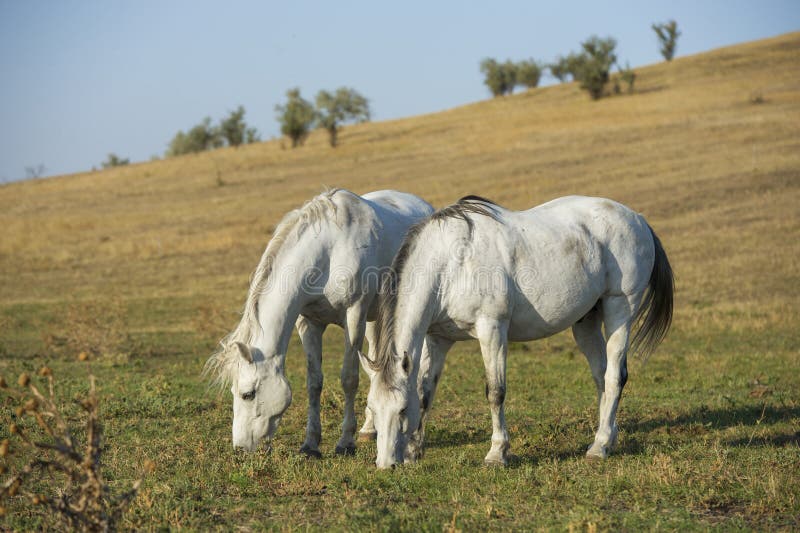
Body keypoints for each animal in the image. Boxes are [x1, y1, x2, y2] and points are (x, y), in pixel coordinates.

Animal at [205, 188, 434, 456]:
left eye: (248, 394)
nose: (239, 448)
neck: (328, 252)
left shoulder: (354, 316)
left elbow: (349, 378)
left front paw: (345, 442)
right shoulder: (309, 323)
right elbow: (314, 382)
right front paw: (310, 444)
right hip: (375, 319)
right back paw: (370, 428)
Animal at [366, 195, 673, 469]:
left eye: (401, 410)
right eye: (372, 408)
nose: (385, 464)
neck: (452, 264)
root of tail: (637, 218)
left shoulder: (492, 329)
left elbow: (495, 391)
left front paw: (497, 453)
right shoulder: (438, 339)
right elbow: (424, 392)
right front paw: (414, 452)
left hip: (619, 309)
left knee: (614, 376)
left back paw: (600, 447)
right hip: (586, 322)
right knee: (601, 377)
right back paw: (604, 439)